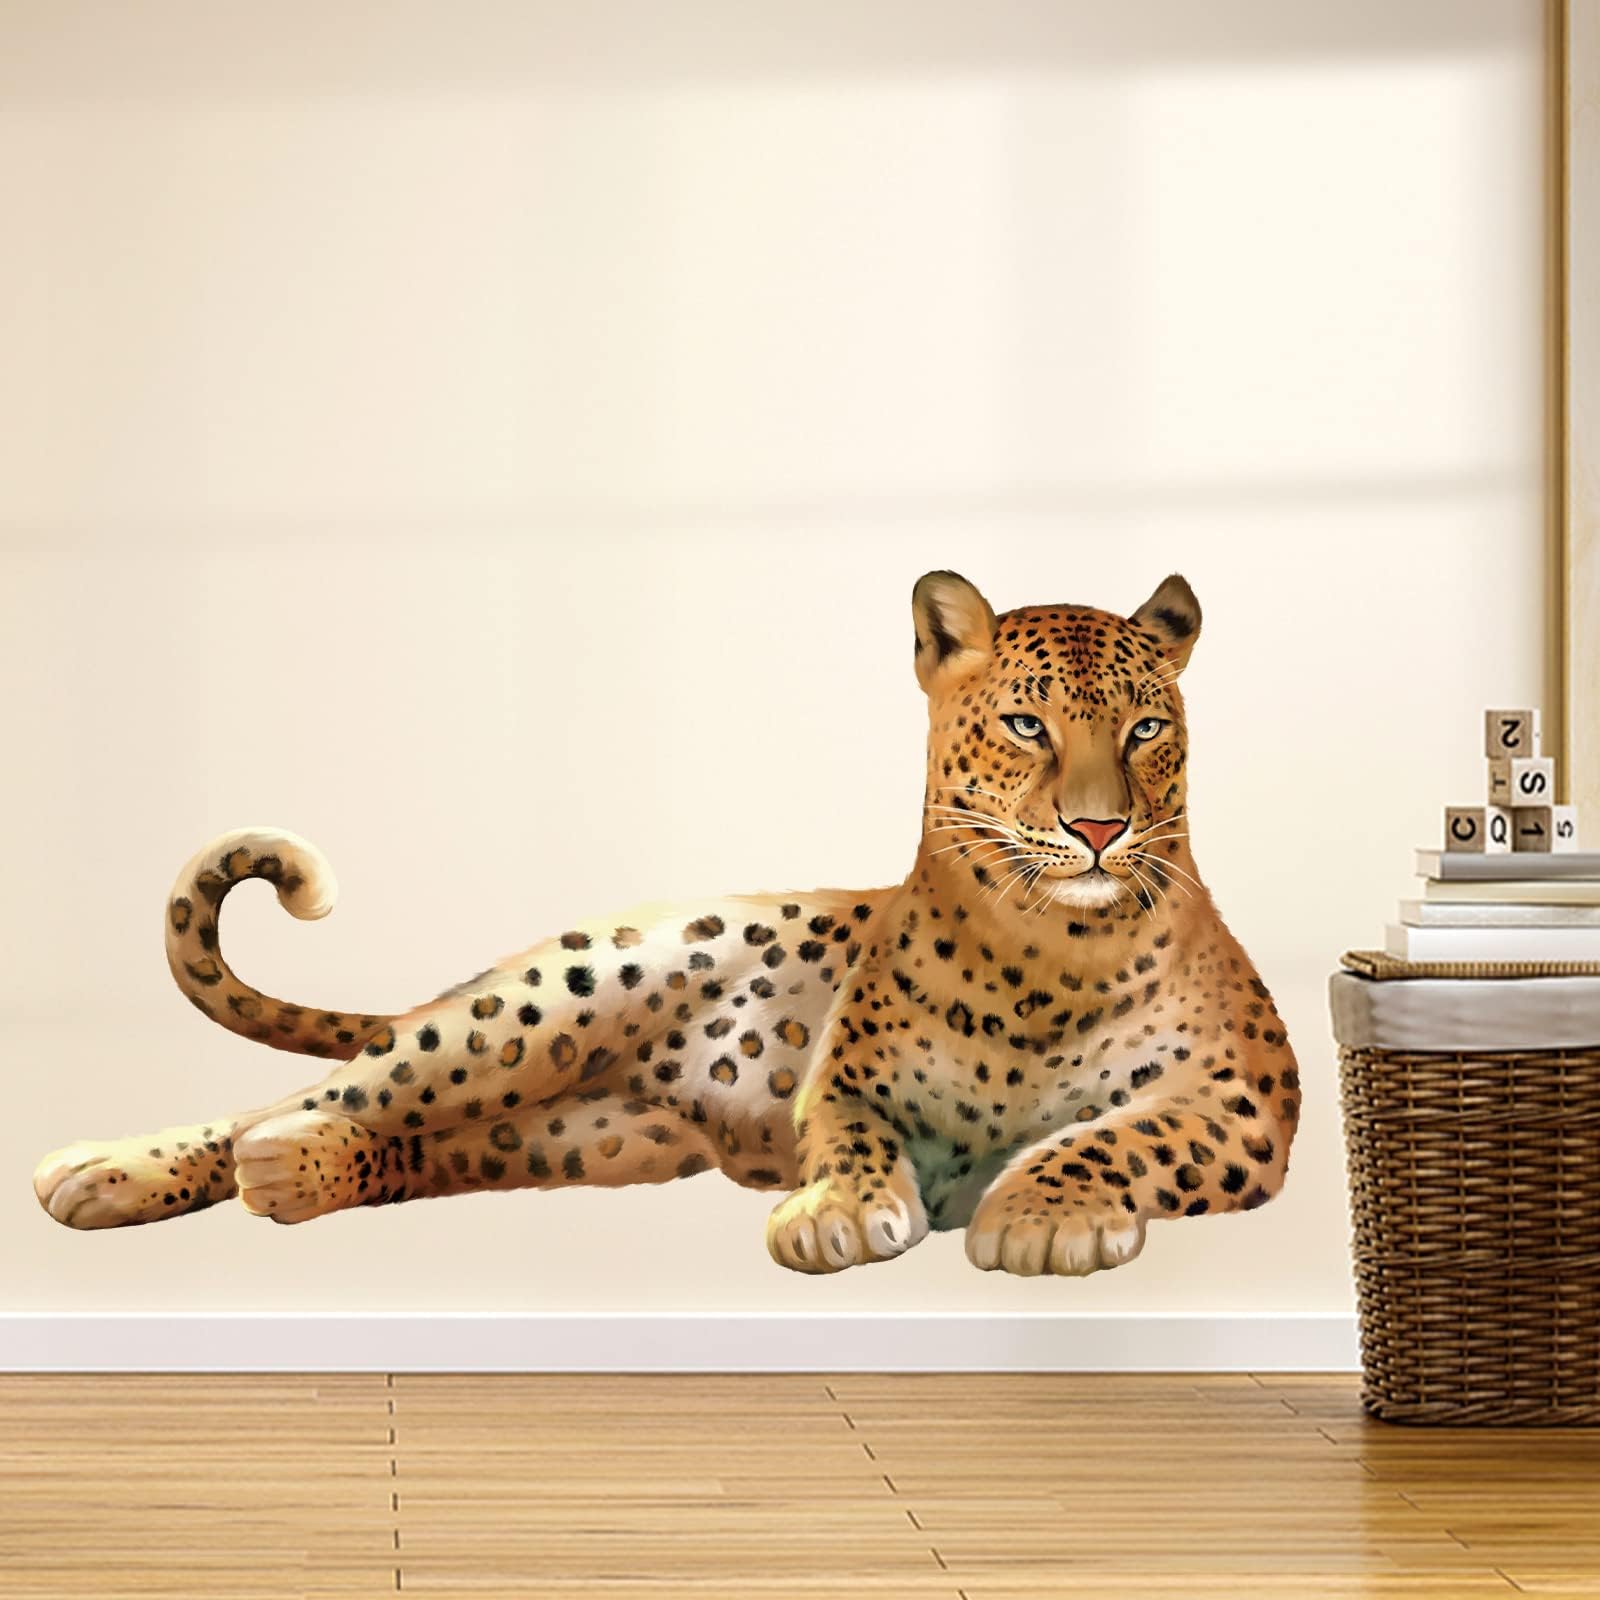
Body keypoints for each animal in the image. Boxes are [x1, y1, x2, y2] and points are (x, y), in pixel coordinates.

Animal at [32, 570, 1299, 1277]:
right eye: (1028, 724)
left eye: (1145, 728)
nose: (1098, 828)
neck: (1045, 950)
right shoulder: (842, 1086)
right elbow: (850, 1139)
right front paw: (838, 1212)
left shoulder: (1242, 1100)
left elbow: (1111, 1136)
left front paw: (1034, 1214)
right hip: (540, 1011)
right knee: (338, 1082)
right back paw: (105, 1168)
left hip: (582, 1136)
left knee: (396, 1137)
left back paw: (291, 1170)